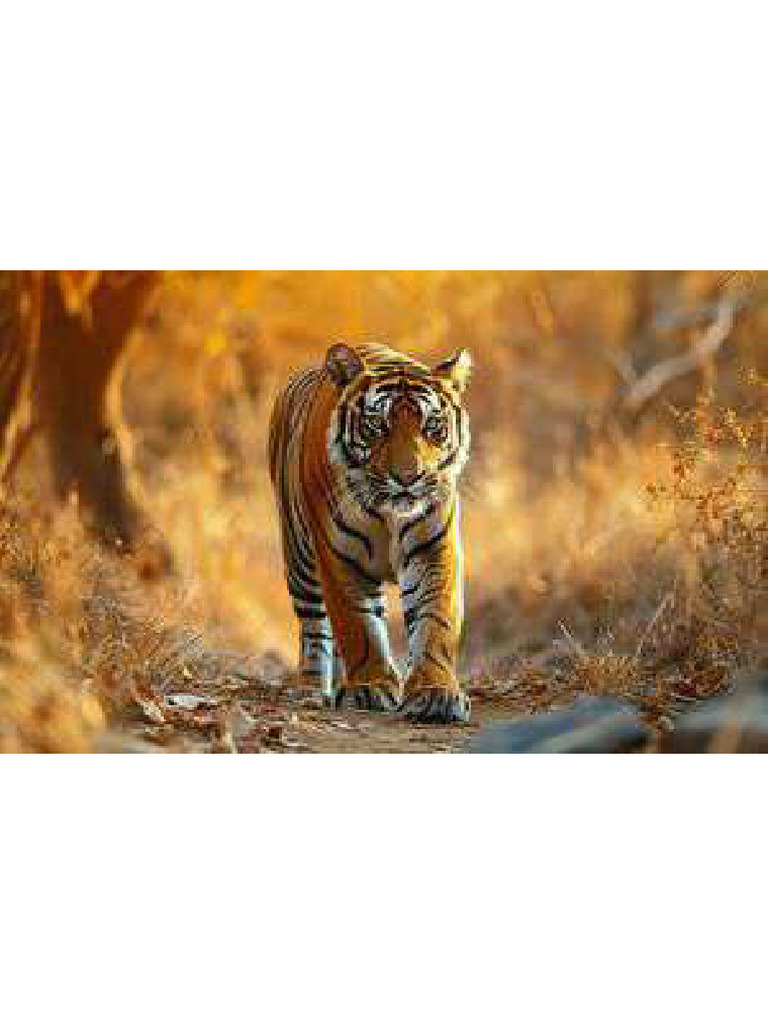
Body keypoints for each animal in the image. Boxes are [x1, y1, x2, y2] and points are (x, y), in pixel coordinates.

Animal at [268, 341, 473, 724]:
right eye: (377, 425)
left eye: (432, 426)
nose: (408, 477)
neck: (388, 513)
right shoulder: (337, 557)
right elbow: (357, 626)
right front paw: (371, 687)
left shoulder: (433, 550)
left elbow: (435, 620)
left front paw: (436, 694)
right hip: (300, 562)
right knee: (314, 630)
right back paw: (312, 689)